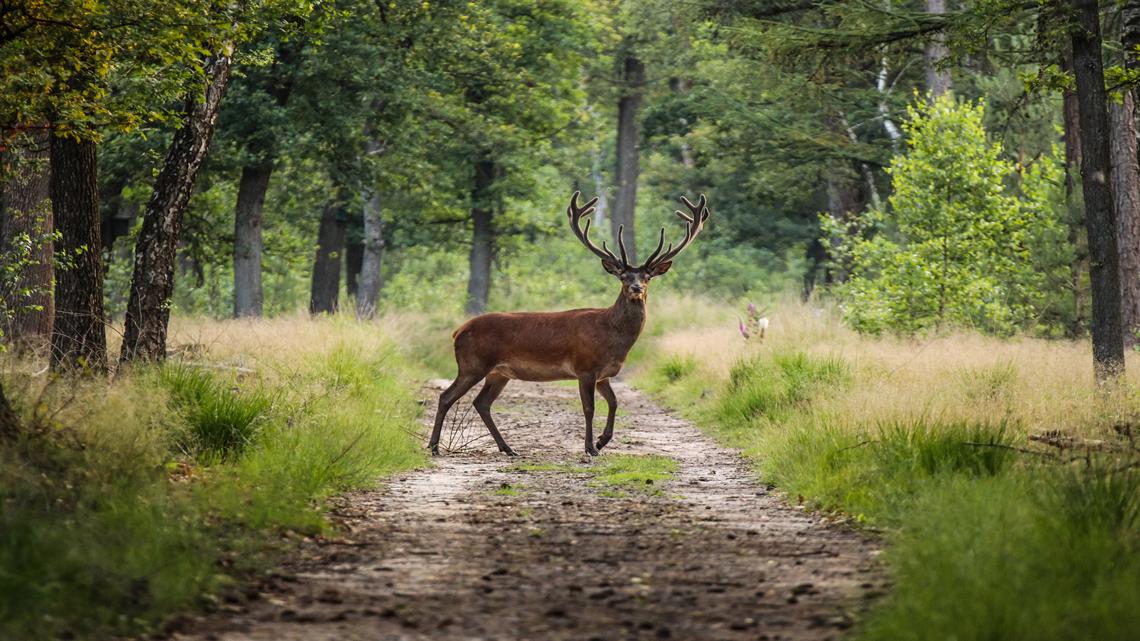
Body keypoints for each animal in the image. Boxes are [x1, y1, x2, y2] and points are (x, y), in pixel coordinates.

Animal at [429, 191, 710, 457]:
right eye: (622, 276)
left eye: (647, 276)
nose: (636, 288)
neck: (611, 337)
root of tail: (458, 331)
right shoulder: (585, 367)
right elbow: (589, 408)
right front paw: (591, 447)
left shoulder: (604, 374)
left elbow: (614, 403)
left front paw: (602, 440)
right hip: (472, 364)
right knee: (446, 397)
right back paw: (434, 446)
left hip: (498, 372)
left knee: (481, 403)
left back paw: (507, 448)